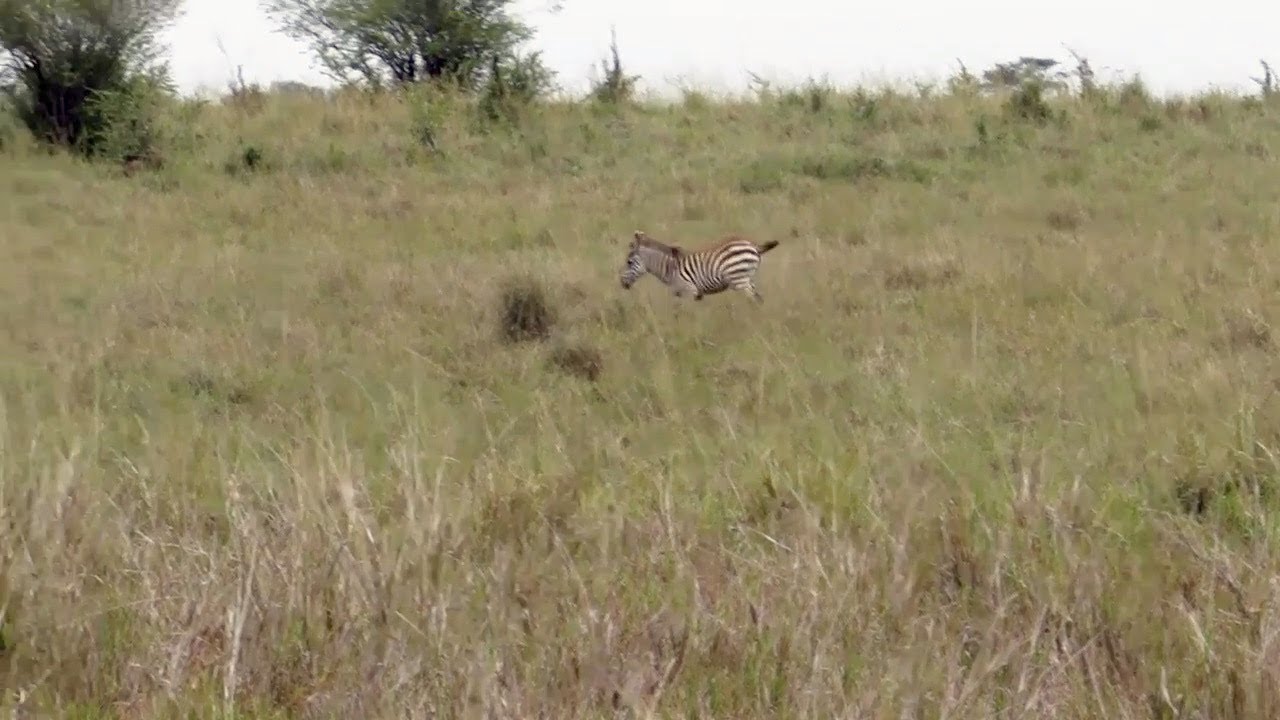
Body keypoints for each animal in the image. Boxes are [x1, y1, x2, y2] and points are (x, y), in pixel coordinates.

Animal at [619, 230, 781, 303]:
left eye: (629, 262)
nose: (622, 284)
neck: (670, 268)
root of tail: (753, 245)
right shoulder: (688, 295)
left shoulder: (689, 292)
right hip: (748, 278)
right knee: (758, 299)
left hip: (739, 280)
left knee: (753, 300)